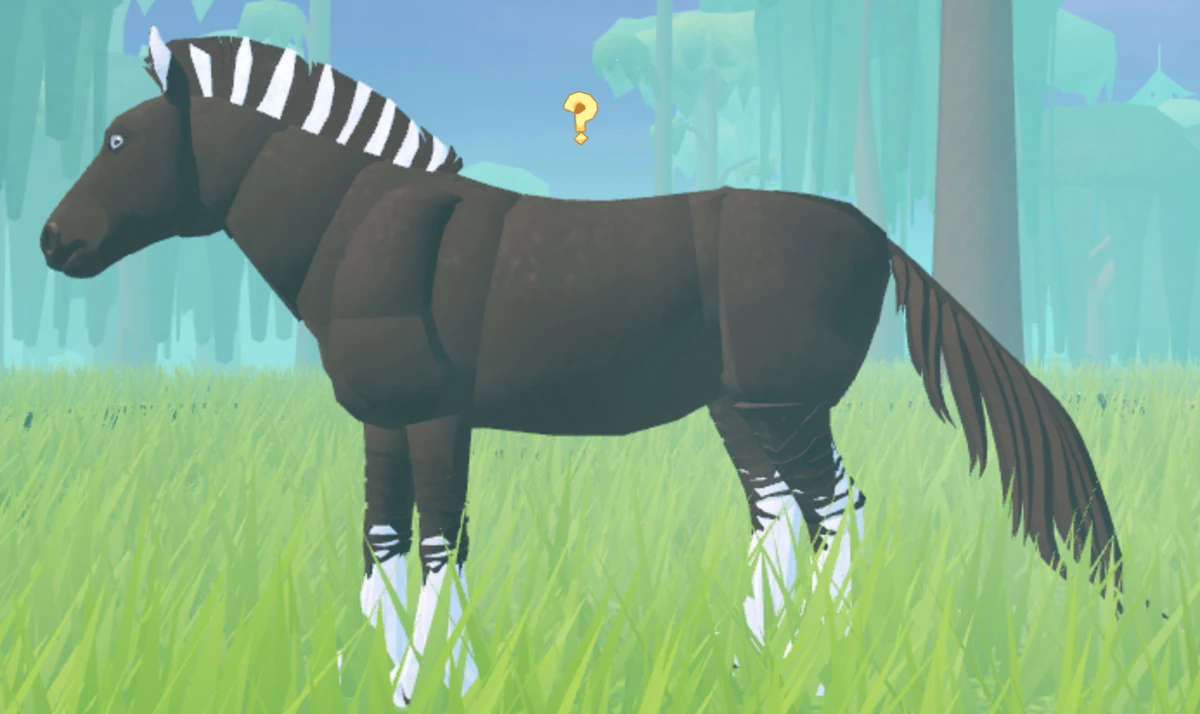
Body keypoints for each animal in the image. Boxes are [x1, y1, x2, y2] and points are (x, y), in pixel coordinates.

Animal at [40, 27, 1128, 707]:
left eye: (120, 137)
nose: (52, 242)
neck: (357, 228)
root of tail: (876, 232)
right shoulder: (383, 417)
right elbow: (380, 546)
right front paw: (381, 682)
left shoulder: (438, 417)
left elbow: (437, 549)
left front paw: (440, 686)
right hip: (743, 406)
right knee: (781, 517)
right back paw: (760, 671)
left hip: (788, 401)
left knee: (836, 514)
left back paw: (823, 675)